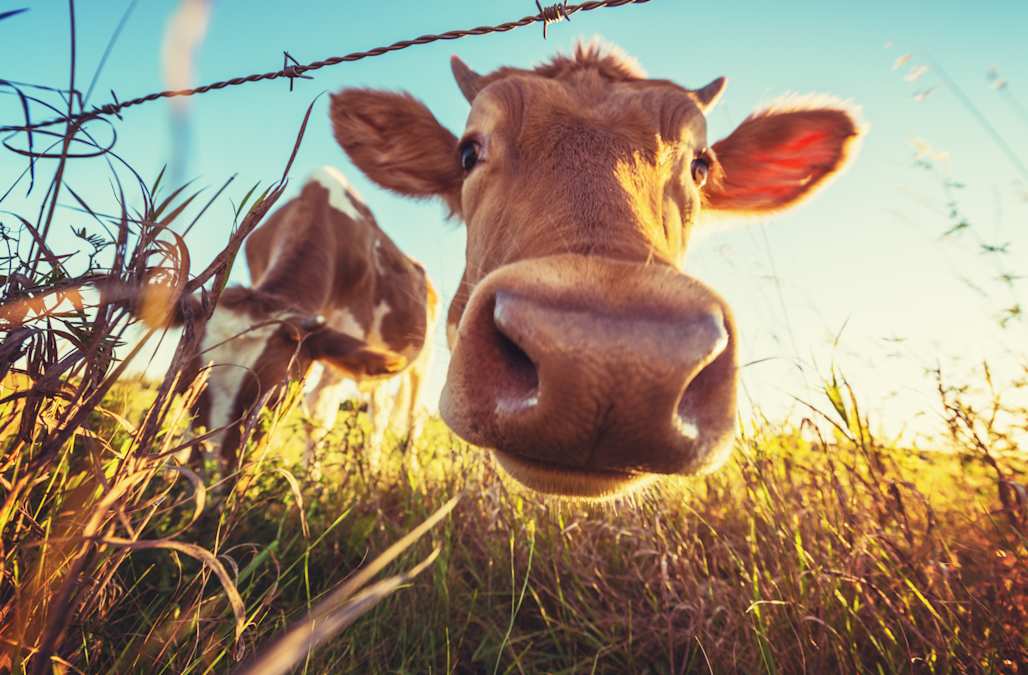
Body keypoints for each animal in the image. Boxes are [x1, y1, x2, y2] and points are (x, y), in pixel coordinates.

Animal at [163, 166, 438, 469]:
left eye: (273, 400)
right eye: (183, 388)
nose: (209, 473)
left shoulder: (341, 340)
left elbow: (318, 415)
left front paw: (309, 477)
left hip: (422, 362)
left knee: (413, 414)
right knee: (379, 412)